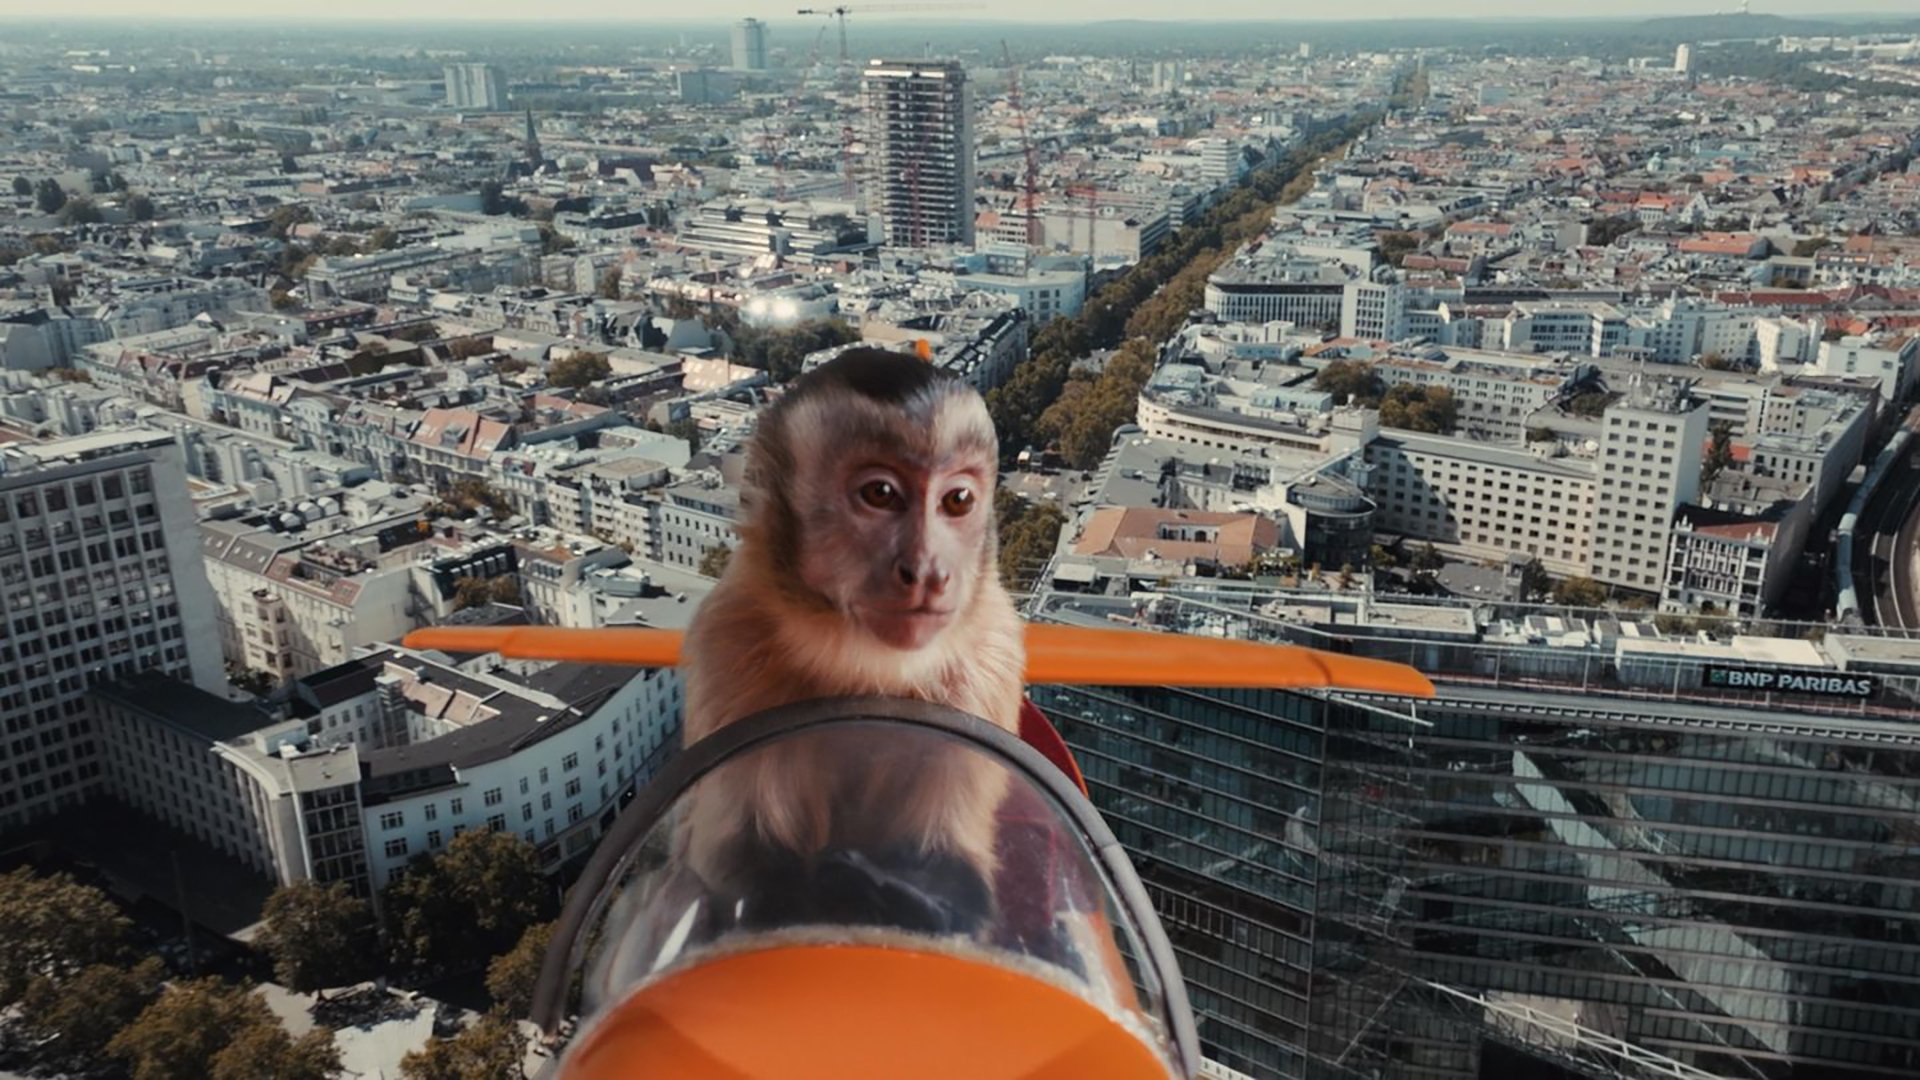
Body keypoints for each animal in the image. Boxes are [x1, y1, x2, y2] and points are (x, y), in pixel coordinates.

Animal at [675, 346, 1026, 936]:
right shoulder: (729, 641)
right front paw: (829, 890)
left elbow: (953, 872)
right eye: (880, 494)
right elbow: (730, 859)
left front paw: (882, 892)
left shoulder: (989, 664)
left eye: (957, 500)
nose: (928, 571)